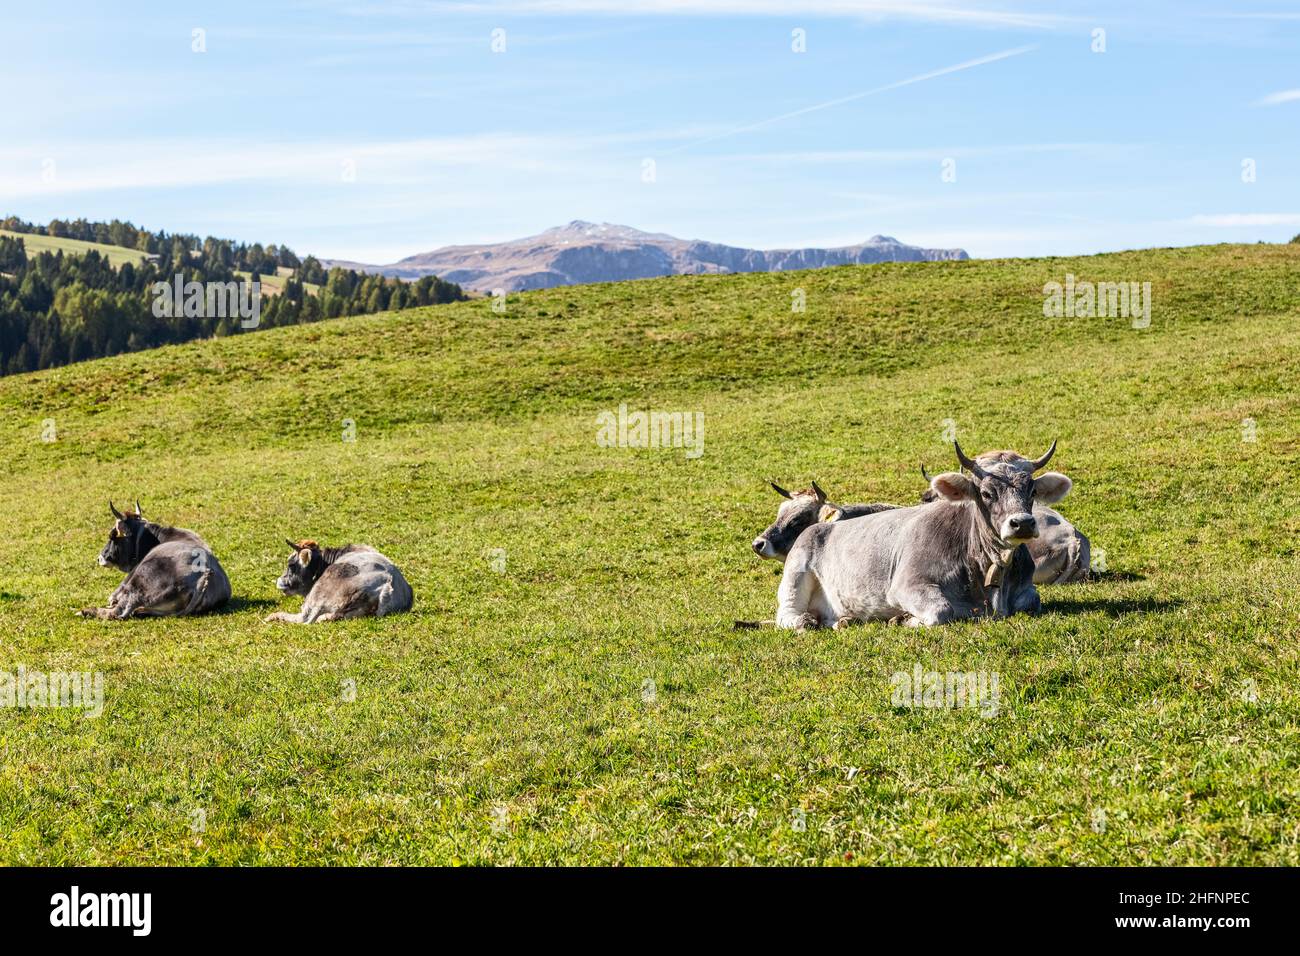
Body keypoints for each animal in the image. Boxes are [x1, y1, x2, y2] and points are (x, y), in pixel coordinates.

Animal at [79, 501, 231, 619]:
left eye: (111, 536)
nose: (99, 558)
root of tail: (204, 574)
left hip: (139, 582)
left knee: (117, 612)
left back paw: (85, 611)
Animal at [264, 540, 413, 623]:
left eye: (291, 564)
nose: (280, 581)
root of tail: (388, 583)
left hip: (317, 597)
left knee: (305, 619)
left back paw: (272, 617)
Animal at [774, 442, 1071, 629]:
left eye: (1032, 491)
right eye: (986, 493)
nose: (1022, 524)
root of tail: (821, 526)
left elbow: (1032, 601)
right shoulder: (905, 585)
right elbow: (942, 610)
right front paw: (902, 619)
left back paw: (845, 621)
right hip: (796, 573)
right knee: (785, 614)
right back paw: (804, 621)